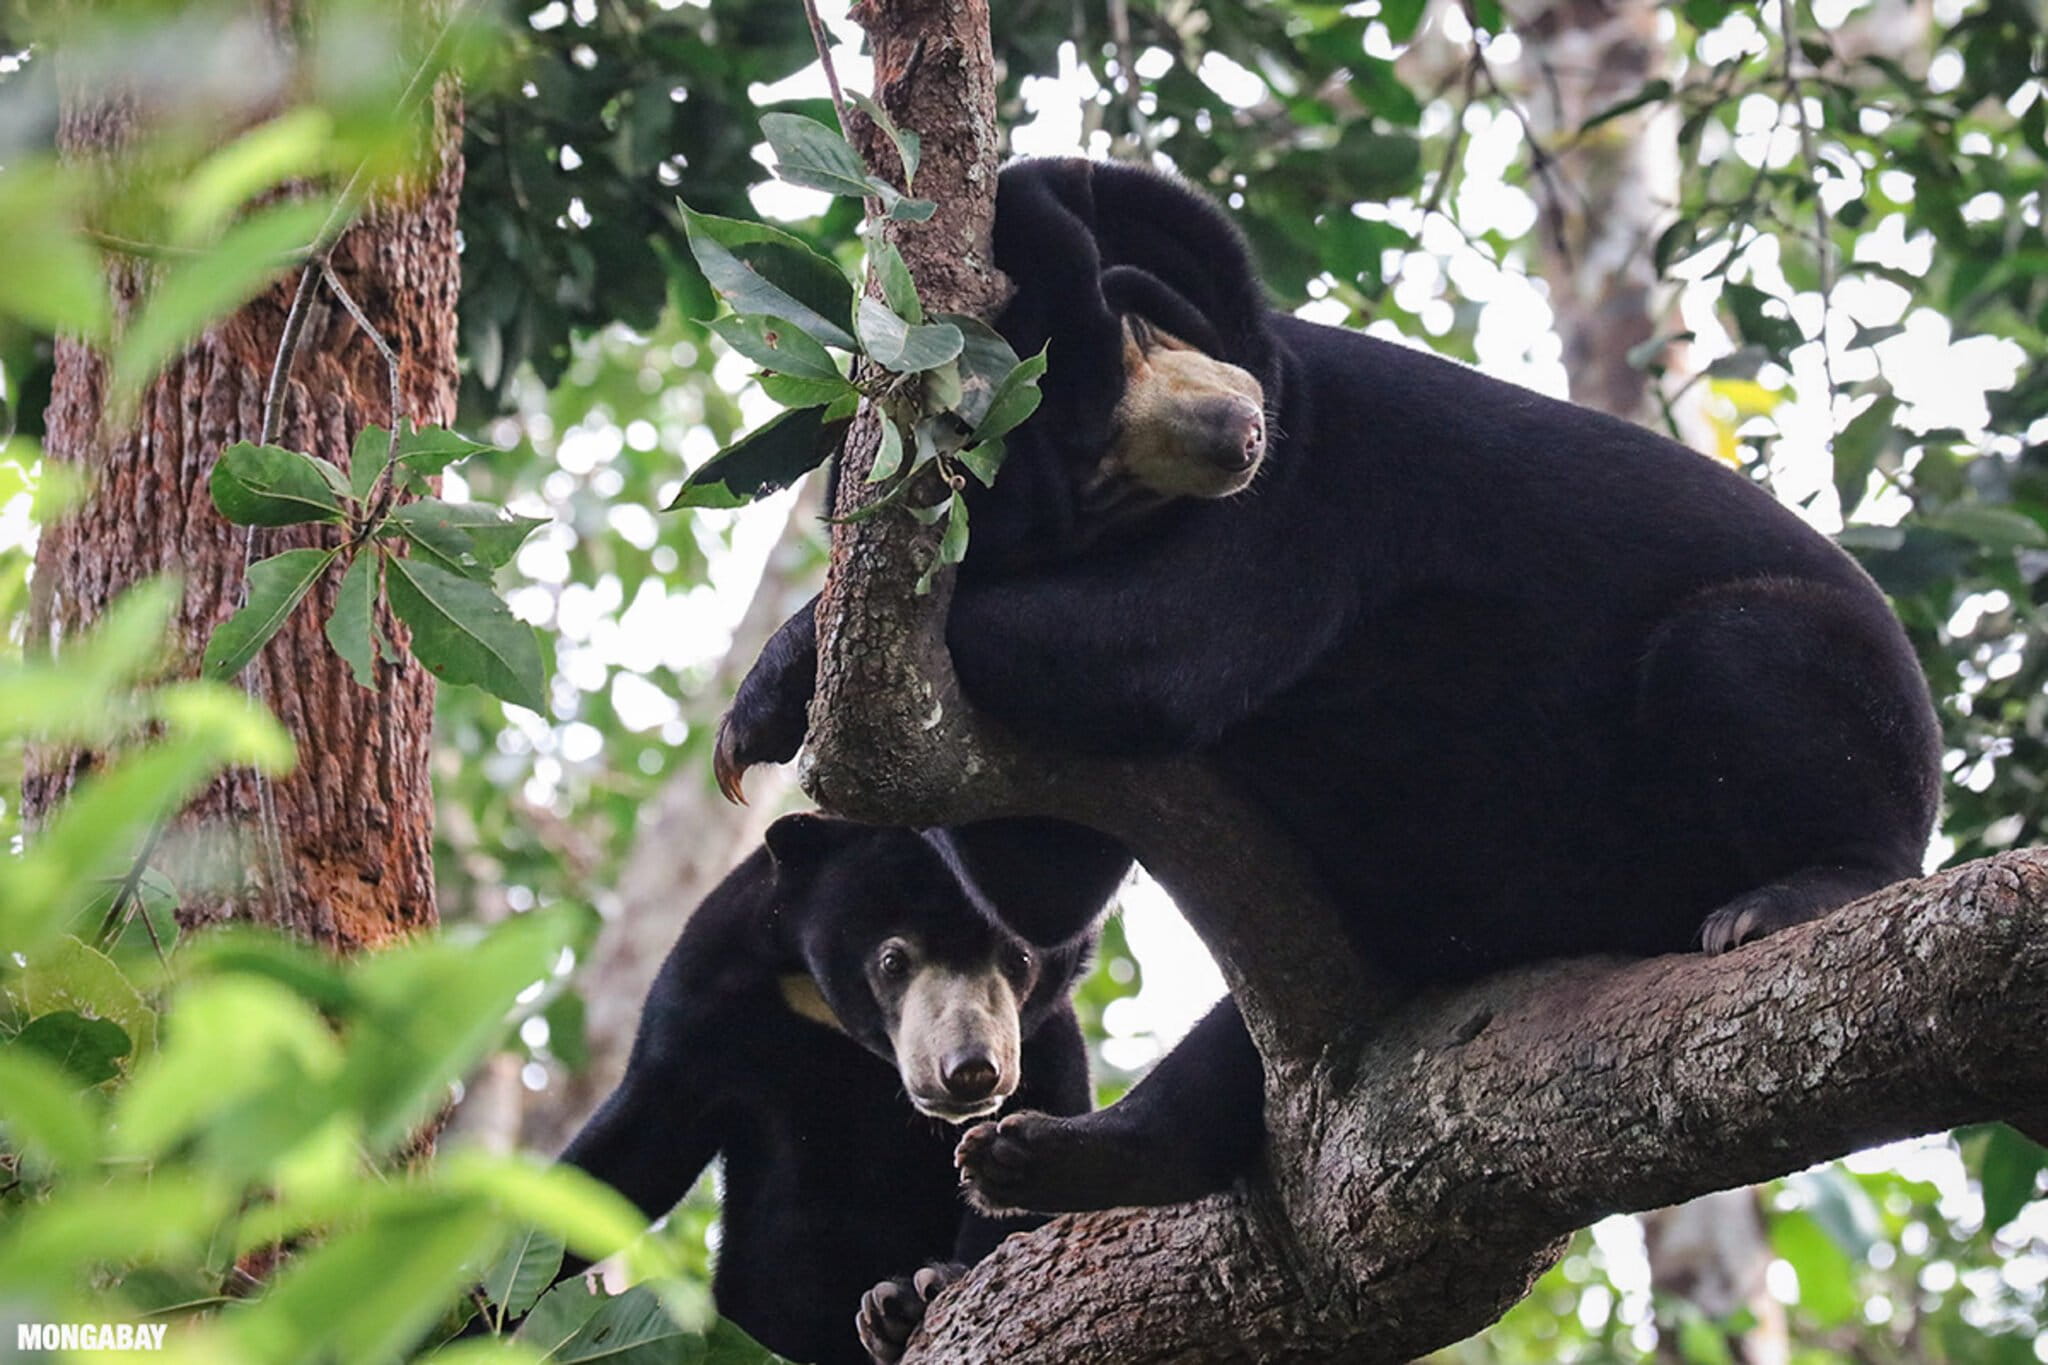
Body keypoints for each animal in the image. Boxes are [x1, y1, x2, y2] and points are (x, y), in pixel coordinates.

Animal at [552, 814, 1100, 1363]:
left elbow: (1024, 1185)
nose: (969, 1070)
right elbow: (630, 1155)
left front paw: (924, 1289)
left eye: (1019, 958)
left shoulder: (1045, 1045)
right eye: (892, 961)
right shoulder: (701, 1000)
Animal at [713, 157, 1944, 1219]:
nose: (1233, 430)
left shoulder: (1322, 492)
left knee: (1748, 648)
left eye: (1148, 327)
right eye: (1105, 472)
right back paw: (1059, 1158)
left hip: (1830, 696)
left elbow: (1155, 654)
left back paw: (1792, 895)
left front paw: (771, 686)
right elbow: (1047, 877)